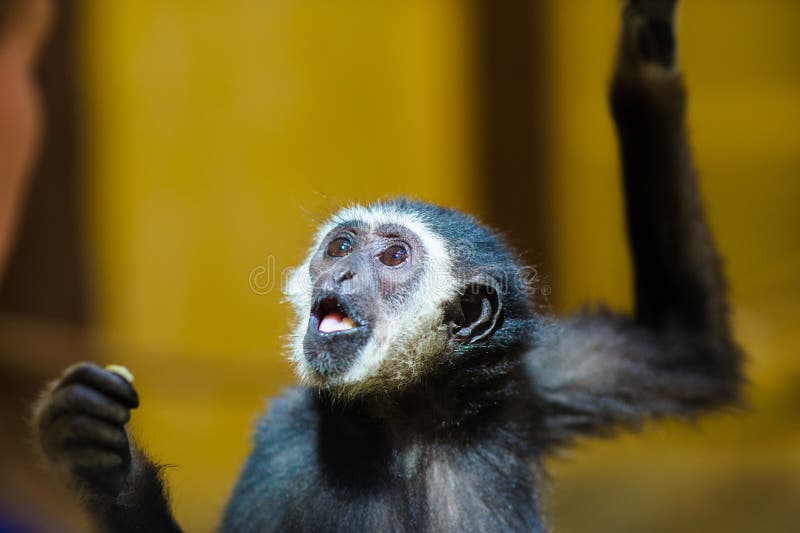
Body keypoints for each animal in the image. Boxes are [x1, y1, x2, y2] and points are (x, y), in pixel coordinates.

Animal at [32, 1, 744, 531]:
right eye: (342, 247)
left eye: (394, 255)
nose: (339, 275)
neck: (411, 420)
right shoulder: (286, 448)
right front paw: (101, 464)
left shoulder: (528, 384)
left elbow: (691, 351)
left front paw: (647, 51)